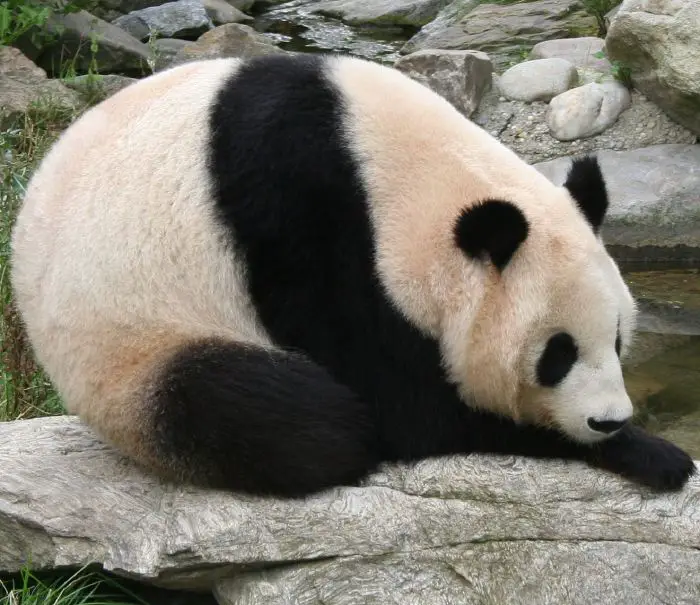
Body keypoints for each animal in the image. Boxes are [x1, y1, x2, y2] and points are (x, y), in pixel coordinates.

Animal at [11, 53, 695, 498]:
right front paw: (654, 455)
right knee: (274, 414)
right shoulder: (298, 220)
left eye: (617, 340)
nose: (608, 419)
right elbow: (405, 409)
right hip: (133, 355)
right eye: (557, 353)